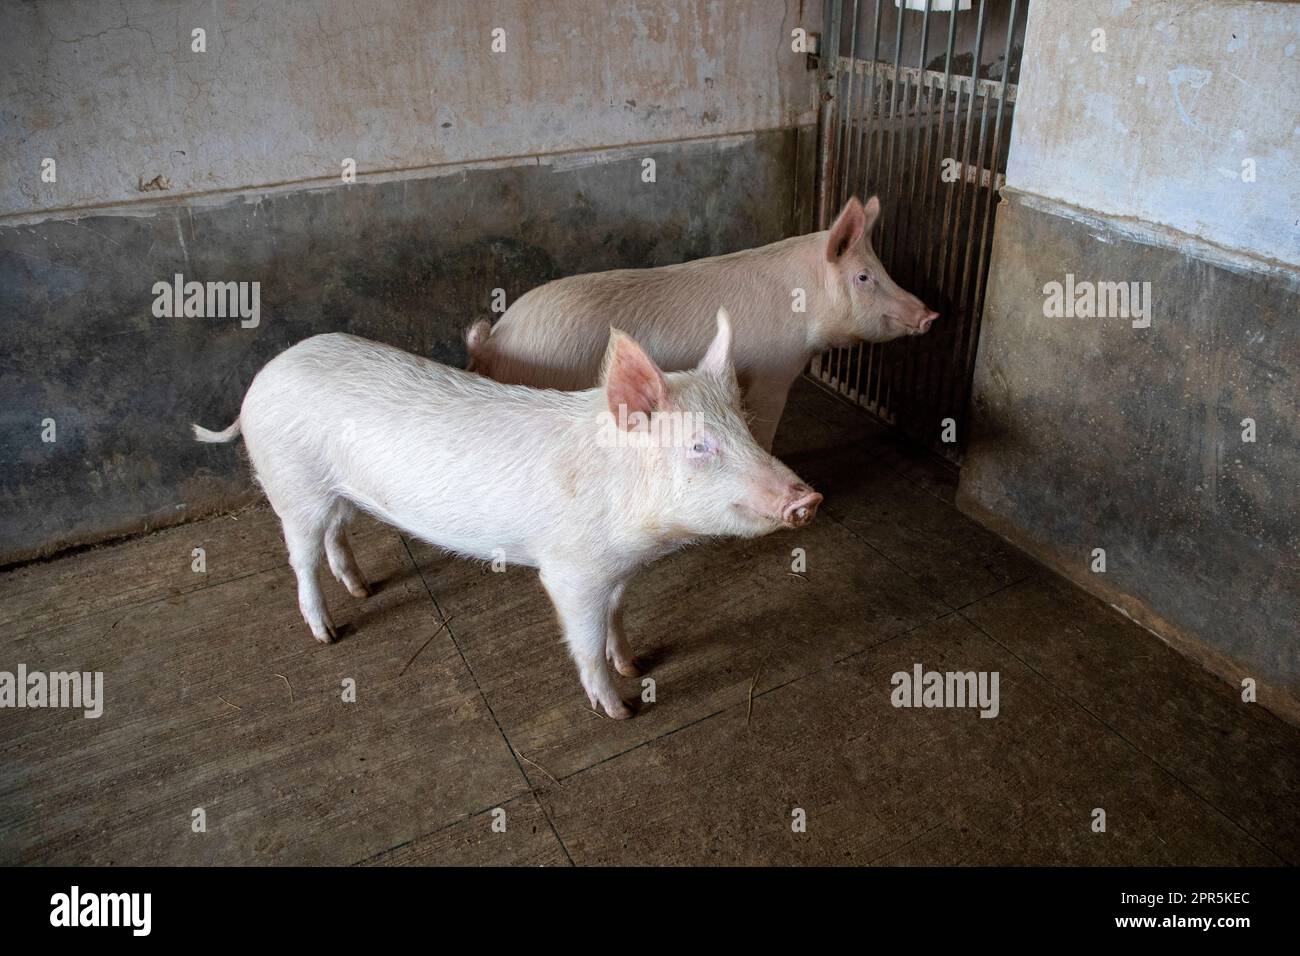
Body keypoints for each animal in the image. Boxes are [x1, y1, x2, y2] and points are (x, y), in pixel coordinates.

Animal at [191, 310, 821, 718]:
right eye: (699, 446)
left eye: (745, 430)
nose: (808, 498)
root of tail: (265, 374)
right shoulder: (570, 569)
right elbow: (583, 636)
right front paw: (619, 710)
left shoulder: (615, 569)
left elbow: (617, 618)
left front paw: (634, 665)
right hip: (291, 483)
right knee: (299, 557)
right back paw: (328, 633)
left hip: (338, 491)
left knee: (334, 537)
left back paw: (363, 589)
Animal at [466, 196, 939, 452]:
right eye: (864, 277)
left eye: (882, 268)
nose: (930, 314)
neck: (805, 300)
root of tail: (495, 339)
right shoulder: (775, 369)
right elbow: (765, 423)